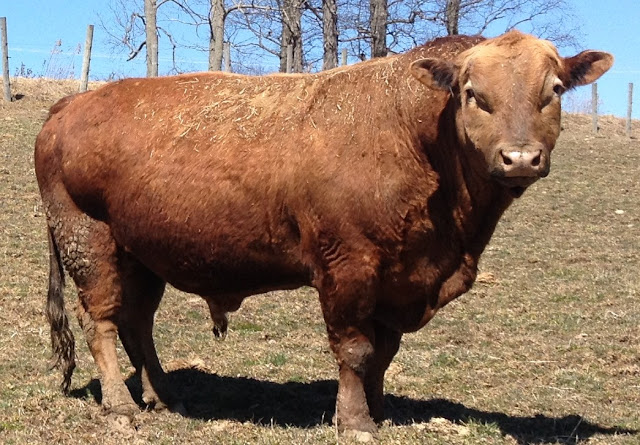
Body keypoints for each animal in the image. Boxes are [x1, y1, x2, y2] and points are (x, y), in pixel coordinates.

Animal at [34, 30, 612, 439]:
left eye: (553, 91)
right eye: (473, 94)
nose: (520, 157)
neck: (416, 134)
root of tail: (69, 106)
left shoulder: (396, 279)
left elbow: (384, 352)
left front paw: (379, 411)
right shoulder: (348, 269)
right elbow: (355, 349)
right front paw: (355, 422)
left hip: (143, 256)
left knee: (138, 325)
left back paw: (165, 397)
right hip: (90, 245)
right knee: (102, 324)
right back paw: (120, 407)